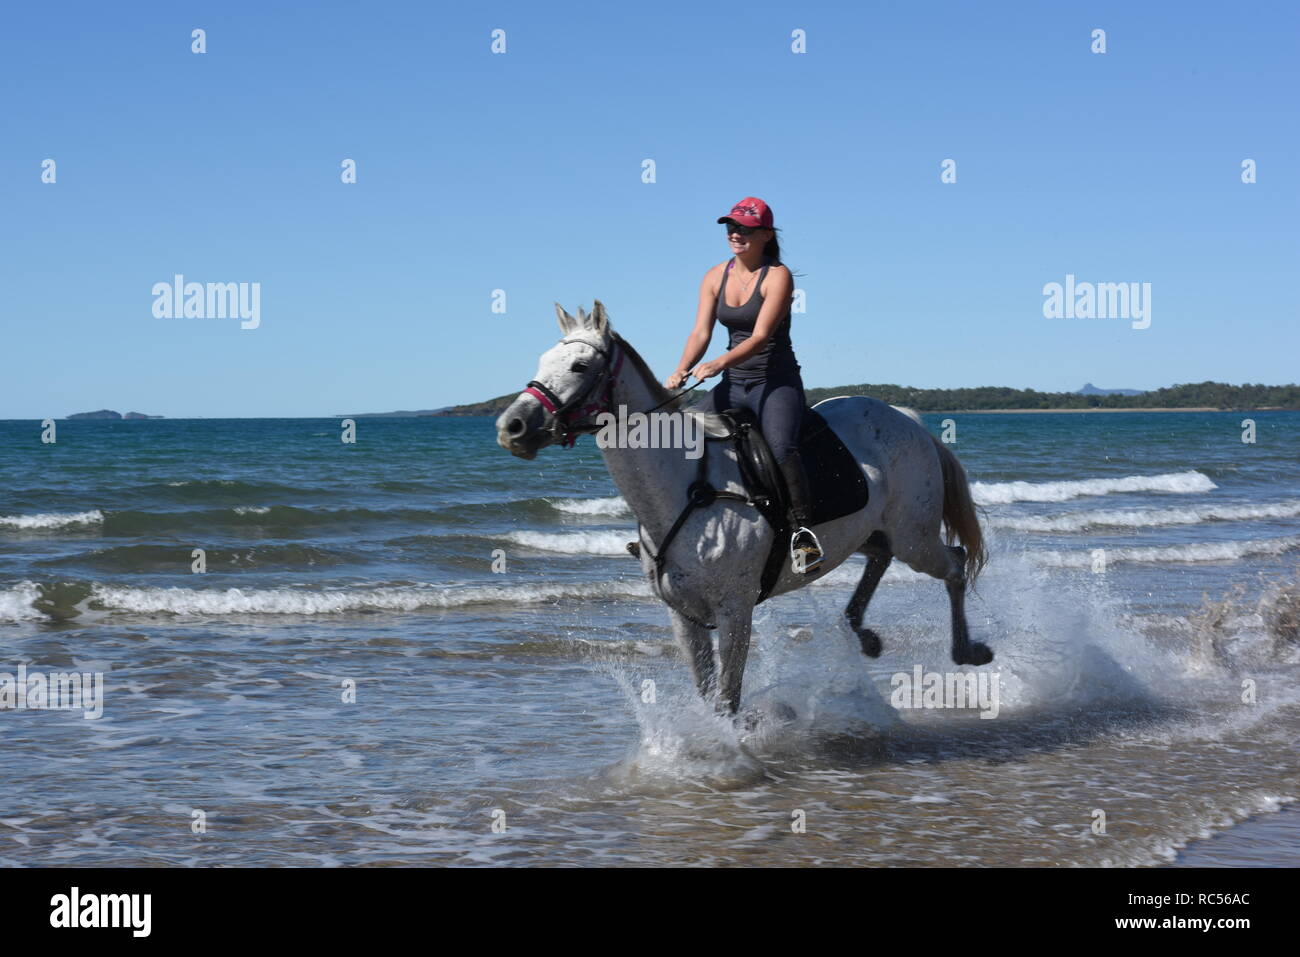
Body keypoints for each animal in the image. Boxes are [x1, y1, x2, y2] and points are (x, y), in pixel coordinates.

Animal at [495, 300, 991, 718]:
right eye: (541, 361)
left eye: (580, 365)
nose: (511, 426)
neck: (684, 487)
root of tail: (906, 418)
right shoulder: (684, 618)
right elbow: (707, 691)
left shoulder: (736, 612)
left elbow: (727, 699)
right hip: (871, 532)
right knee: (882, 557)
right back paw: (862, 632)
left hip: (914, 537)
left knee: (953, 564)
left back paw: (967, 650)